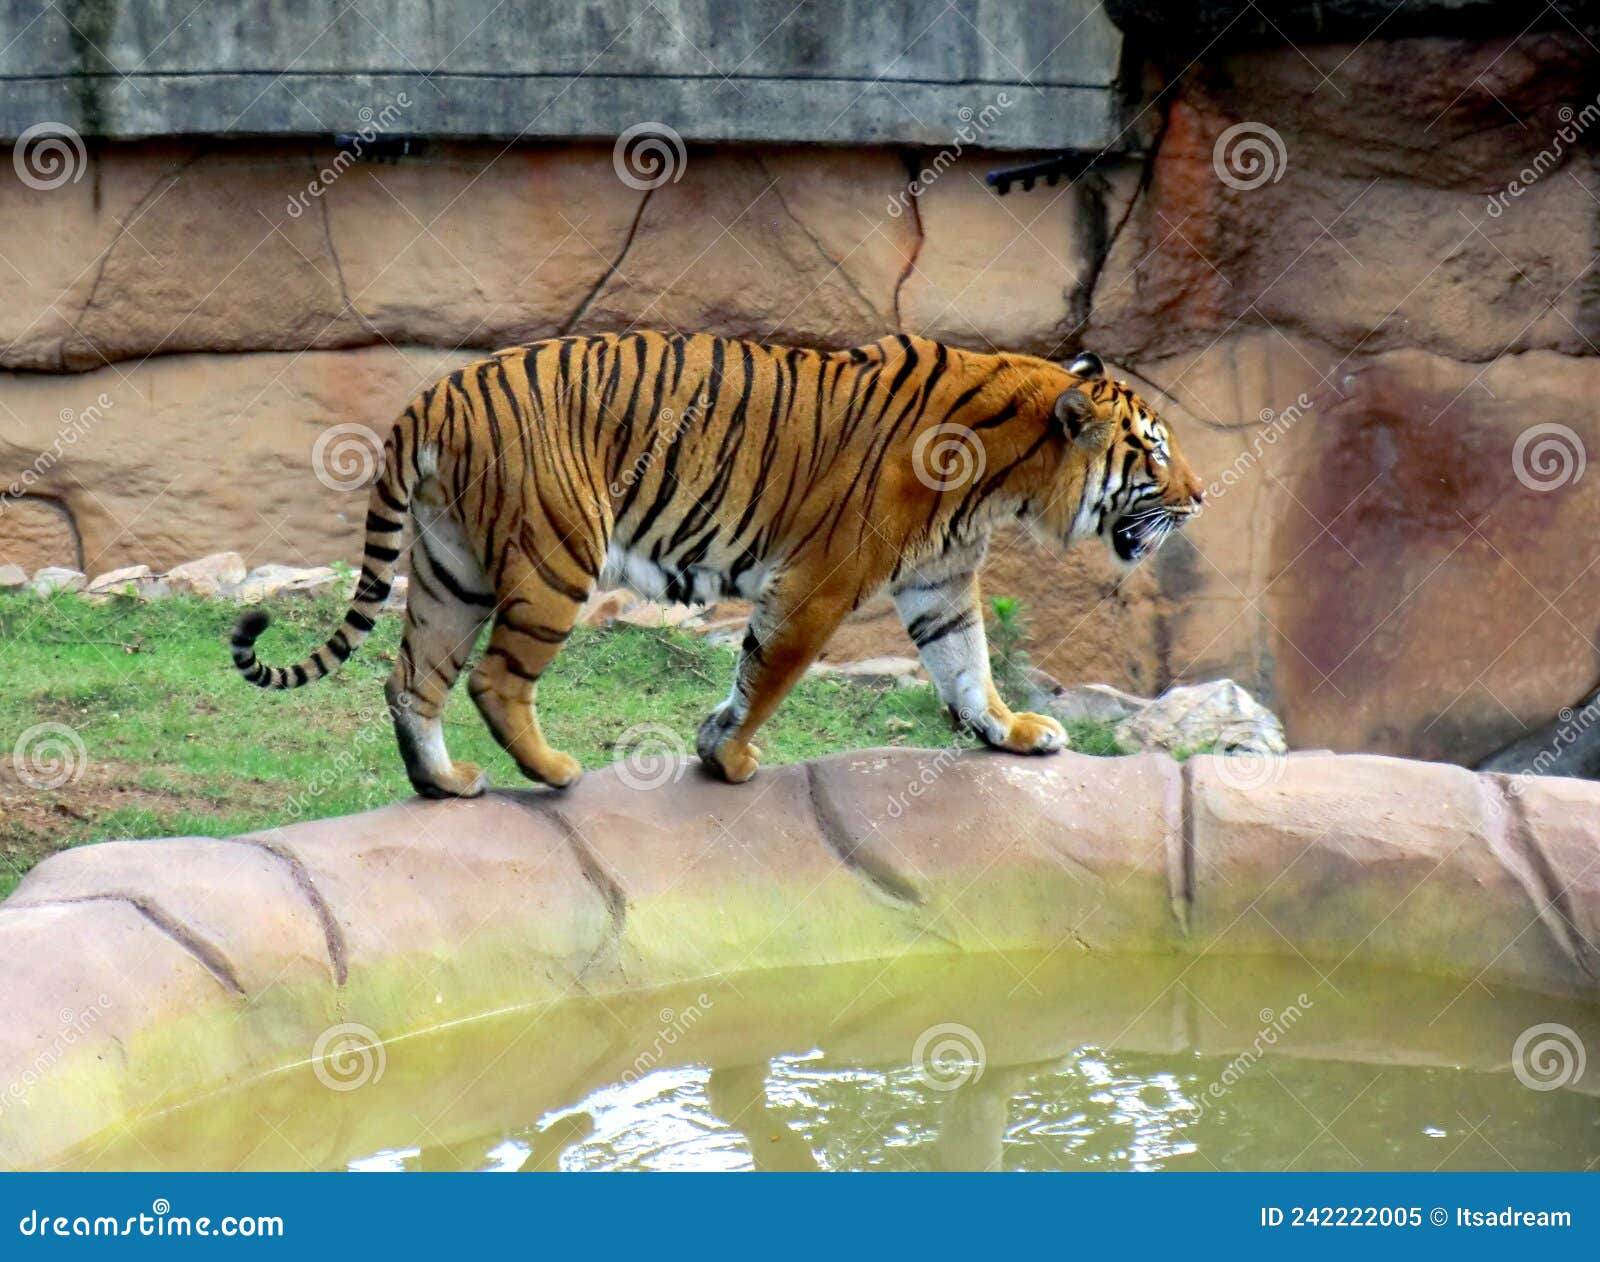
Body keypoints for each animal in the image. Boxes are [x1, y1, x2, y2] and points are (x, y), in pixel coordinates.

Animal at [230, 332, 1203, 797]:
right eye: (1154, 453)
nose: (1200, 497)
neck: (1007, 475)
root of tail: (434, 394)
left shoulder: (940, 580)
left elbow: (968, 665)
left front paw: (1014, 732)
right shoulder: (819, 584)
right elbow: (767, 673)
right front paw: (727, 756)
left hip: (450, 568)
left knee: (411, 680)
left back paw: (445, 786)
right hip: (556, 558)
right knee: (494, 680)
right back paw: (553, 773)